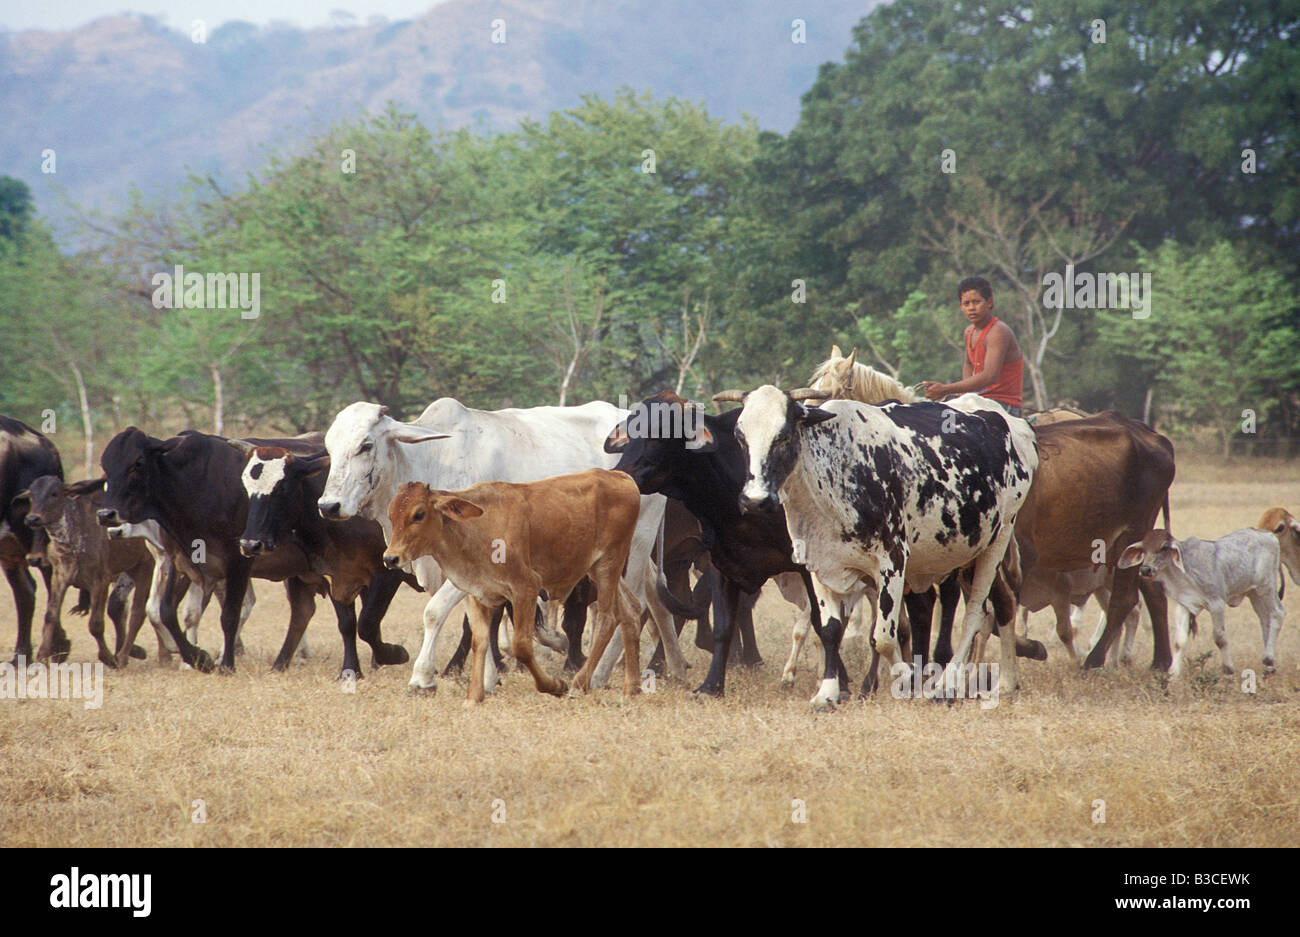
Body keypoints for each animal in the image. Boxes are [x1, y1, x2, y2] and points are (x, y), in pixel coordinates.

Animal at [96, 427, 351, 673]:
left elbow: (229, 615)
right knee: (303, 611)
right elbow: (166, 611)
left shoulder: (238, 561)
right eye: (105, 466)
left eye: (138, 463)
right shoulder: (180, 562)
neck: (195, 484)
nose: (106, 515)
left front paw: (225, 664)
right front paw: (199, 658)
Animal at [233, 444, 413, 678]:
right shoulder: (336, 575)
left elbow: (367, 624)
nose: (250, 544)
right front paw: (350, 671)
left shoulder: (387, 574)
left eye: (282, 488)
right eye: (247, 488)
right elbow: (347, 624)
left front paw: (394, 654)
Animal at [383, 469, 644, 704]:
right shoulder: (477, 594)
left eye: (419, 514)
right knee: (631, 610)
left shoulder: (526, 587)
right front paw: (474, 696)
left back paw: (579, 684)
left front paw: (554, 685)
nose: (390, 558)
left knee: (608, 619)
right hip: (600, 570)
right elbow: (480, 641)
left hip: (608, 564)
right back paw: (631, 689)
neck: (475, 529)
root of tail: (623, 478)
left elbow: (522, 647)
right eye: (391, 515)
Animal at [733, 386, 1038, 708]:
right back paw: (1004, 680)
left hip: (996, 544)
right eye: (740, 437)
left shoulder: (891, 562)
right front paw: (827, 692)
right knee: (997, 604)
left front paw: (907, 680)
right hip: (964, 555)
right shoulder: (819, 565)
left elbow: (882, 638)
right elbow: (829, 631)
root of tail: (1012, 424)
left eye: (783, 436)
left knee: (975, 614)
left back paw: (948, 685)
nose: (754, 500)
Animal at [1118, 528, 1286, 676]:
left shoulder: (1216, 603)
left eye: (1163, 547)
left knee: (1277, 613)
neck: (1183, 573)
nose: (1145, 570)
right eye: (1143, 549)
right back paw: (1269, 666)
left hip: (1266, 588)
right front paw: (1173, 674)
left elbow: (1220, 638)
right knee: (1265, 619)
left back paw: (1268, 658)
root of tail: (1268, 534)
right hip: (1253, 594)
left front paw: (1228, 668)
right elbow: (1179, 641)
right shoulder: (1184, 605)